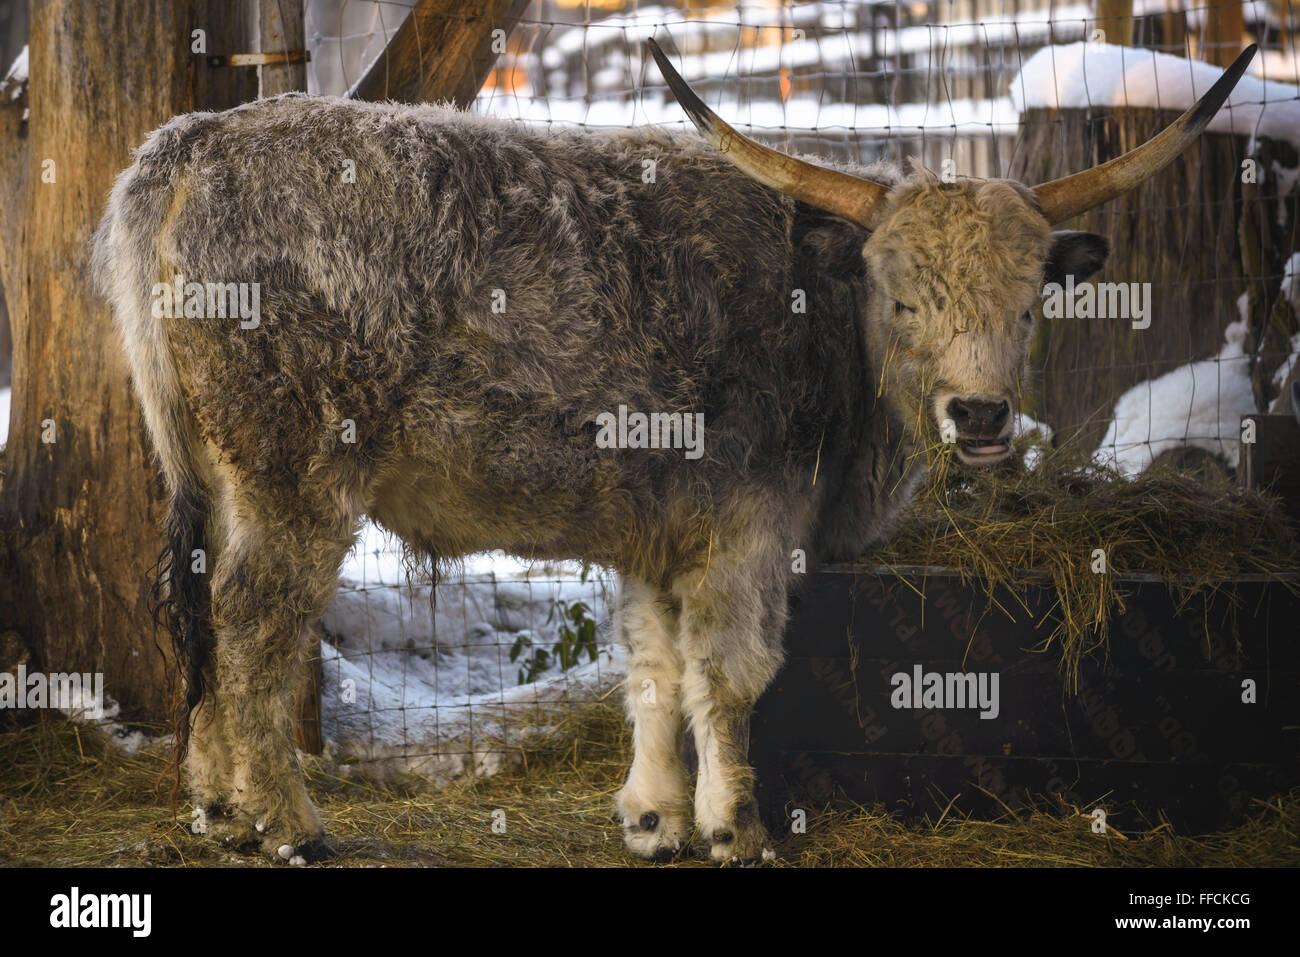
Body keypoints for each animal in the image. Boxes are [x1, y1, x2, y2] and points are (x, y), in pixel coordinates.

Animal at [91, 38, 1255, 864]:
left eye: (1027, 301)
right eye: (902, 295)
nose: (978, 415)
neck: (821, 321)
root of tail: (197, 138)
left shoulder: (657, 531)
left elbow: (653, 668)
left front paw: (654, 818)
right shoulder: (748, 525)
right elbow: (730, 673)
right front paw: (737, 827)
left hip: (219, 469)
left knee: (202, 607)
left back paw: (215, 805)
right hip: (295, 475)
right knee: (254, 624)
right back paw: (286, 822)